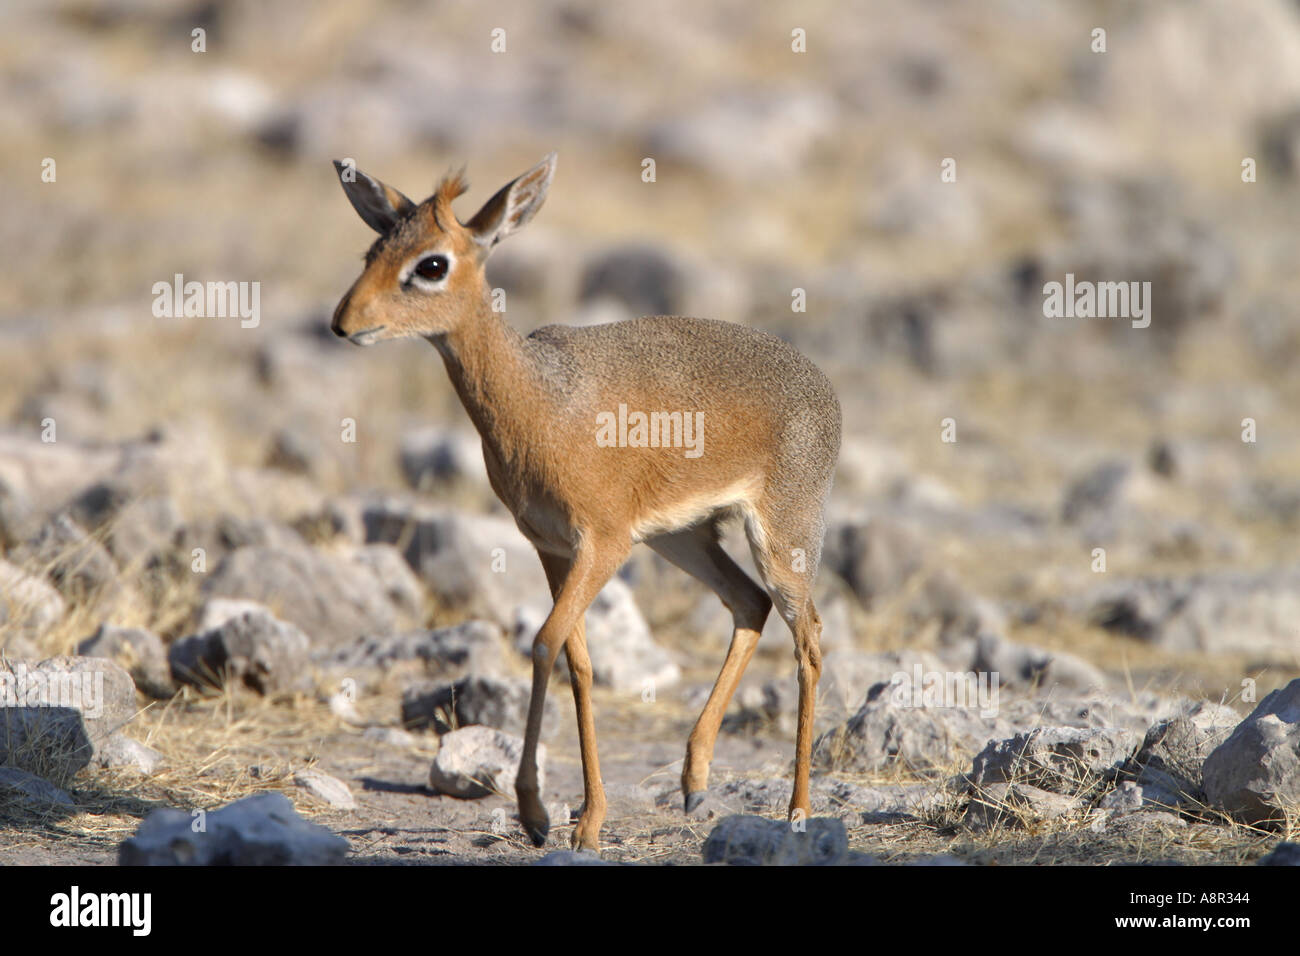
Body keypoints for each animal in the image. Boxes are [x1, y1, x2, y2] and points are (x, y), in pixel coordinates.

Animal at [330, 153, 841, 850]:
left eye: (431, 263)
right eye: (373, 249)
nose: (344, 322)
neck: (541, 399)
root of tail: (822, 385)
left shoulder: (603, 544)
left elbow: (545, 644)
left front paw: (545, 815)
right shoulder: (551, 546)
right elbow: (578, 660)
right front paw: (578, 816)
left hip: (780, 537)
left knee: (808, 636)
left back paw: (797, 811)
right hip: (683, 538)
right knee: (749, 604)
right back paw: (694, 782)